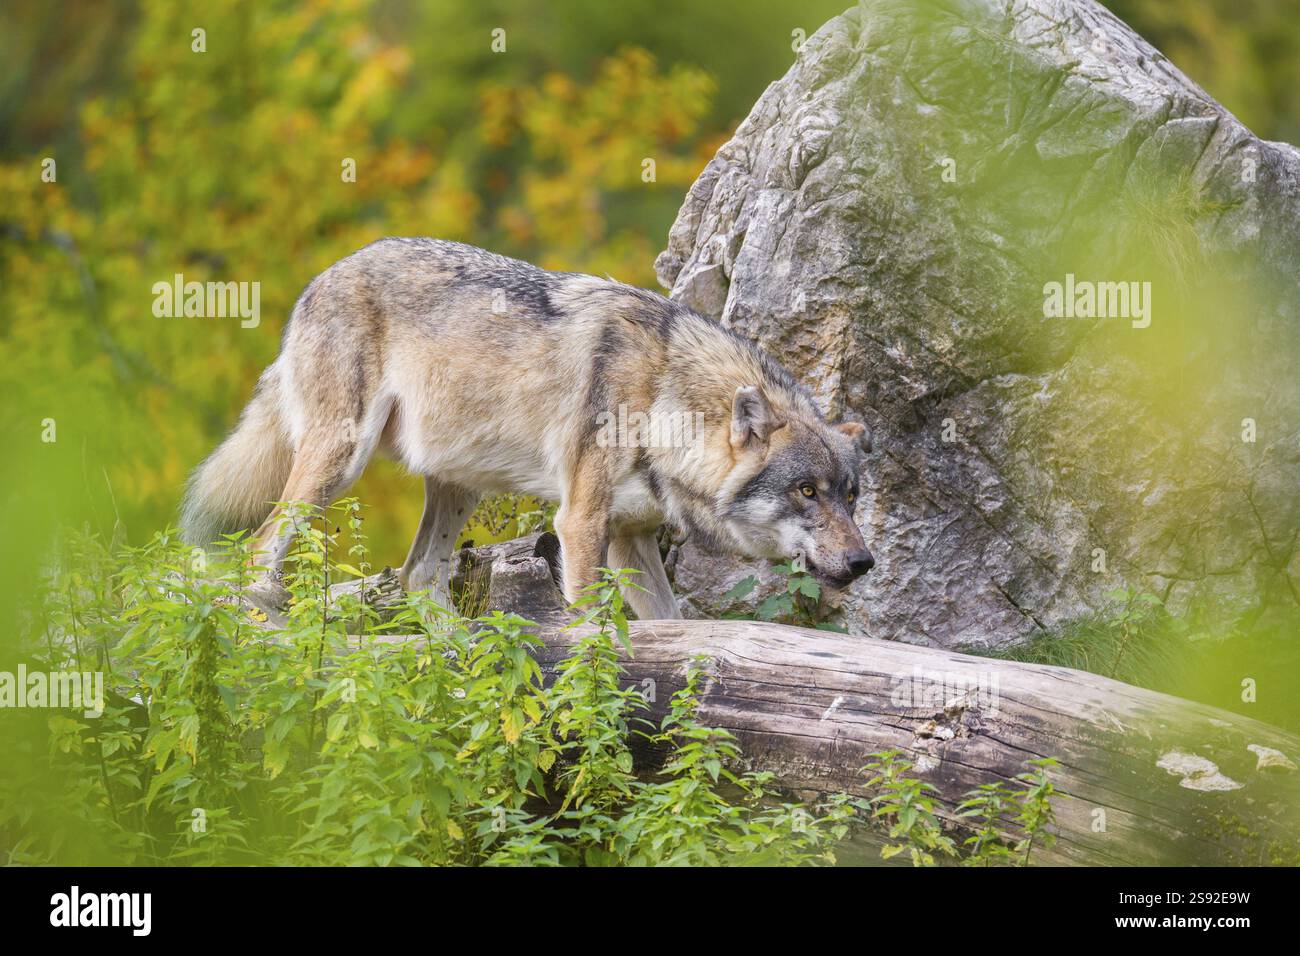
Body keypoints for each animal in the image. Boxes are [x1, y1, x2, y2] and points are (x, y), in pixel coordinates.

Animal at [181, 238, 875, 619]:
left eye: (850, 496)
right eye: (806, 492)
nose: (865, 562)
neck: (662, 395)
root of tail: (319, 280)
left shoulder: (632, 539)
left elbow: (671, 629)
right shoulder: (581, 523)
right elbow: (595, 628)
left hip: (459, 486)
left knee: (417, 578)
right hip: (340, 461)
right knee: (257, 552)